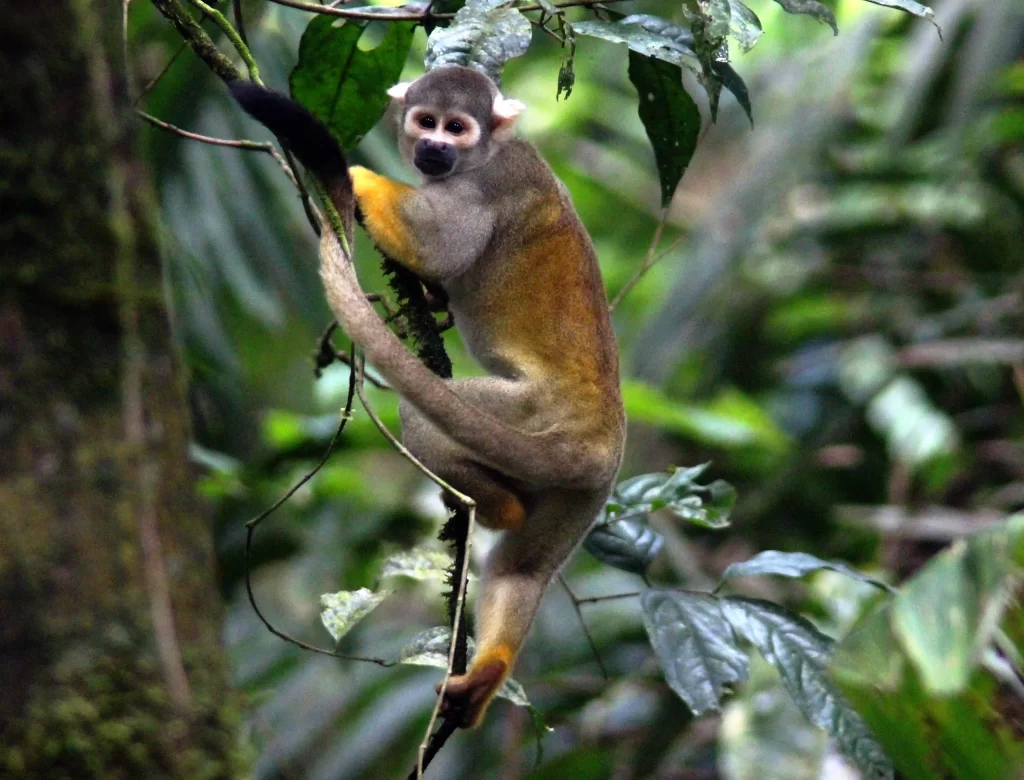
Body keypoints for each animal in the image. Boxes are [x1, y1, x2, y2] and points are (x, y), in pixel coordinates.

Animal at [231, 65, 625, 728]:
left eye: (457, 128)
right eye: (426, 121)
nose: (434, 148)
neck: (486, 153)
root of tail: (599, 433)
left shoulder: (487, 186)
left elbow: (438, 245)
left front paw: (360, 177)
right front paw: (433, 297)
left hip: (528, 418)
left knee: (420, 418)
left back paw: (495, 507)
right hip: (586, 490)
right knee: (521, 570)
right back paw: (489, 668)